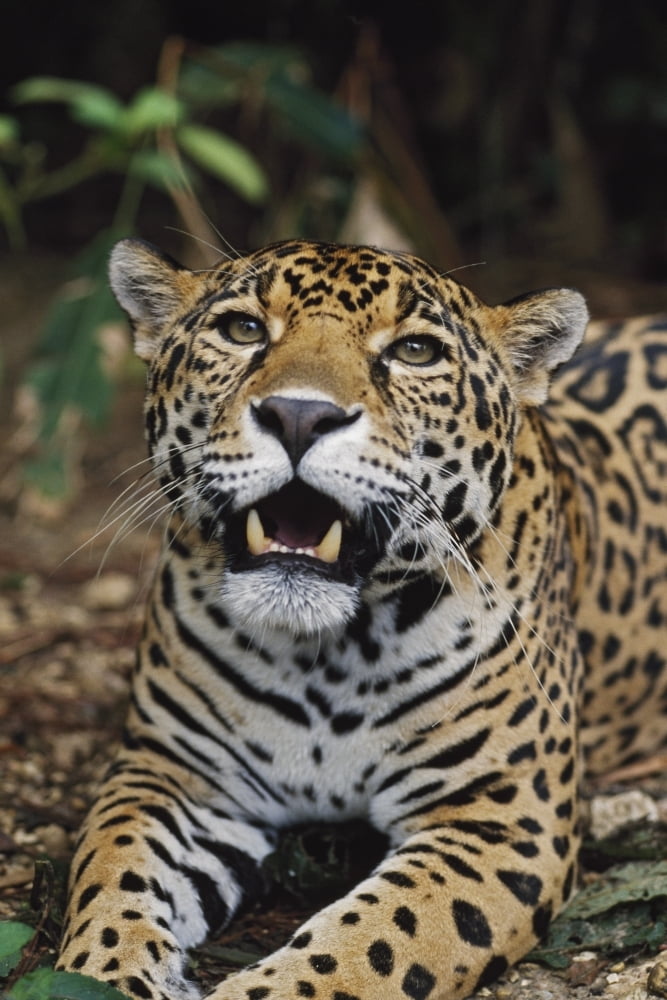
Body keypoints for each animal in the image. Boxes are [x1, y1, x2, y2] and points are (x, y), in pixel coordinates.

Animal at [57, 237, 667, 1000]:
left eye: (414, 351)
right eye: (242, 330)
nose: (298, 416)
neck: (327, 654)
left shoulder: (500, 815)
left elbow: (371, 939)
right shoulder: (171, 773)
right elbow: (112, 871)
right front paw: (103, 973)